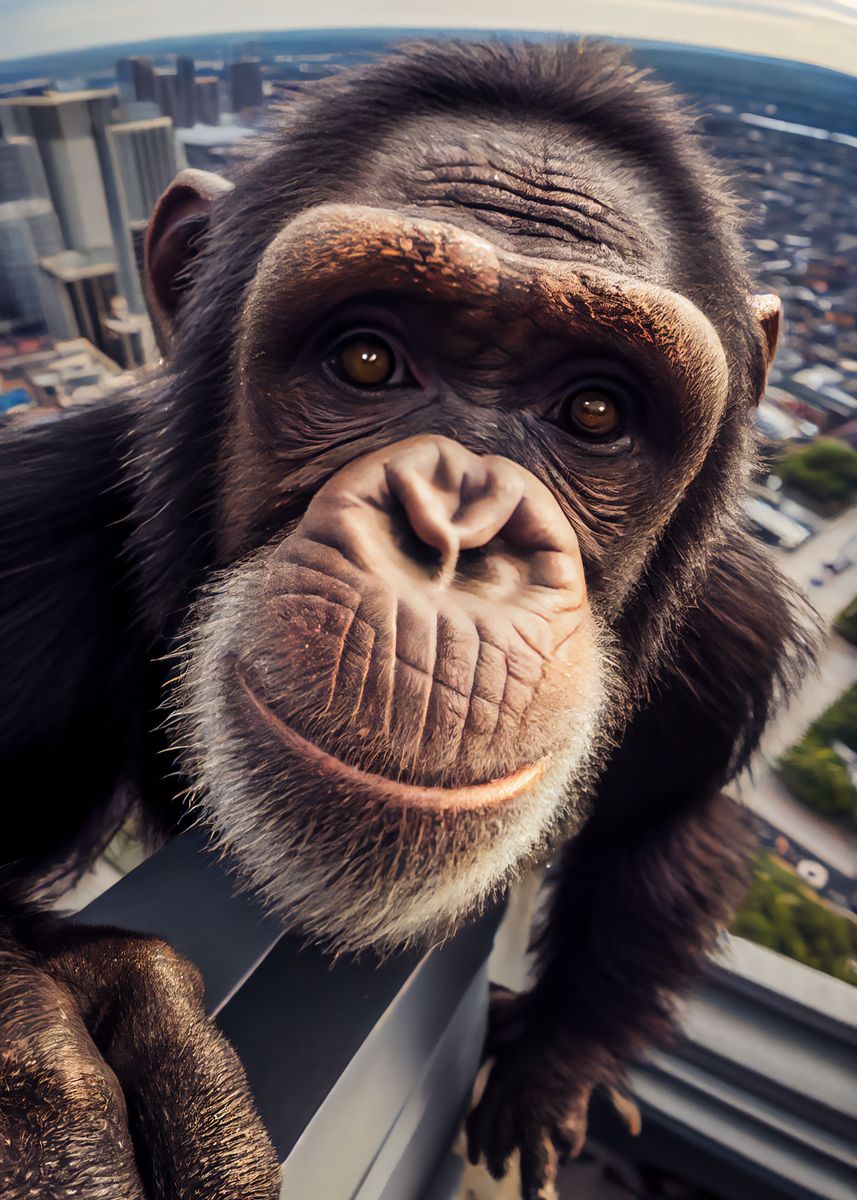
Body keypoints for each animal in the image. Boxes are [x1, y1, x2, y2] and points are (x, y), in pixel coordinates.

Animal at [0, 39, 814, 1200]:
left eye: (593, 412)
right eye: (367, 359)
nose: (456, 532)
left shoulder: (729, 636)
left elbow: (663, 828)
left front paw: (550, 1066)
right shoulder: (38, 540)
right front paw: (71, 1035)